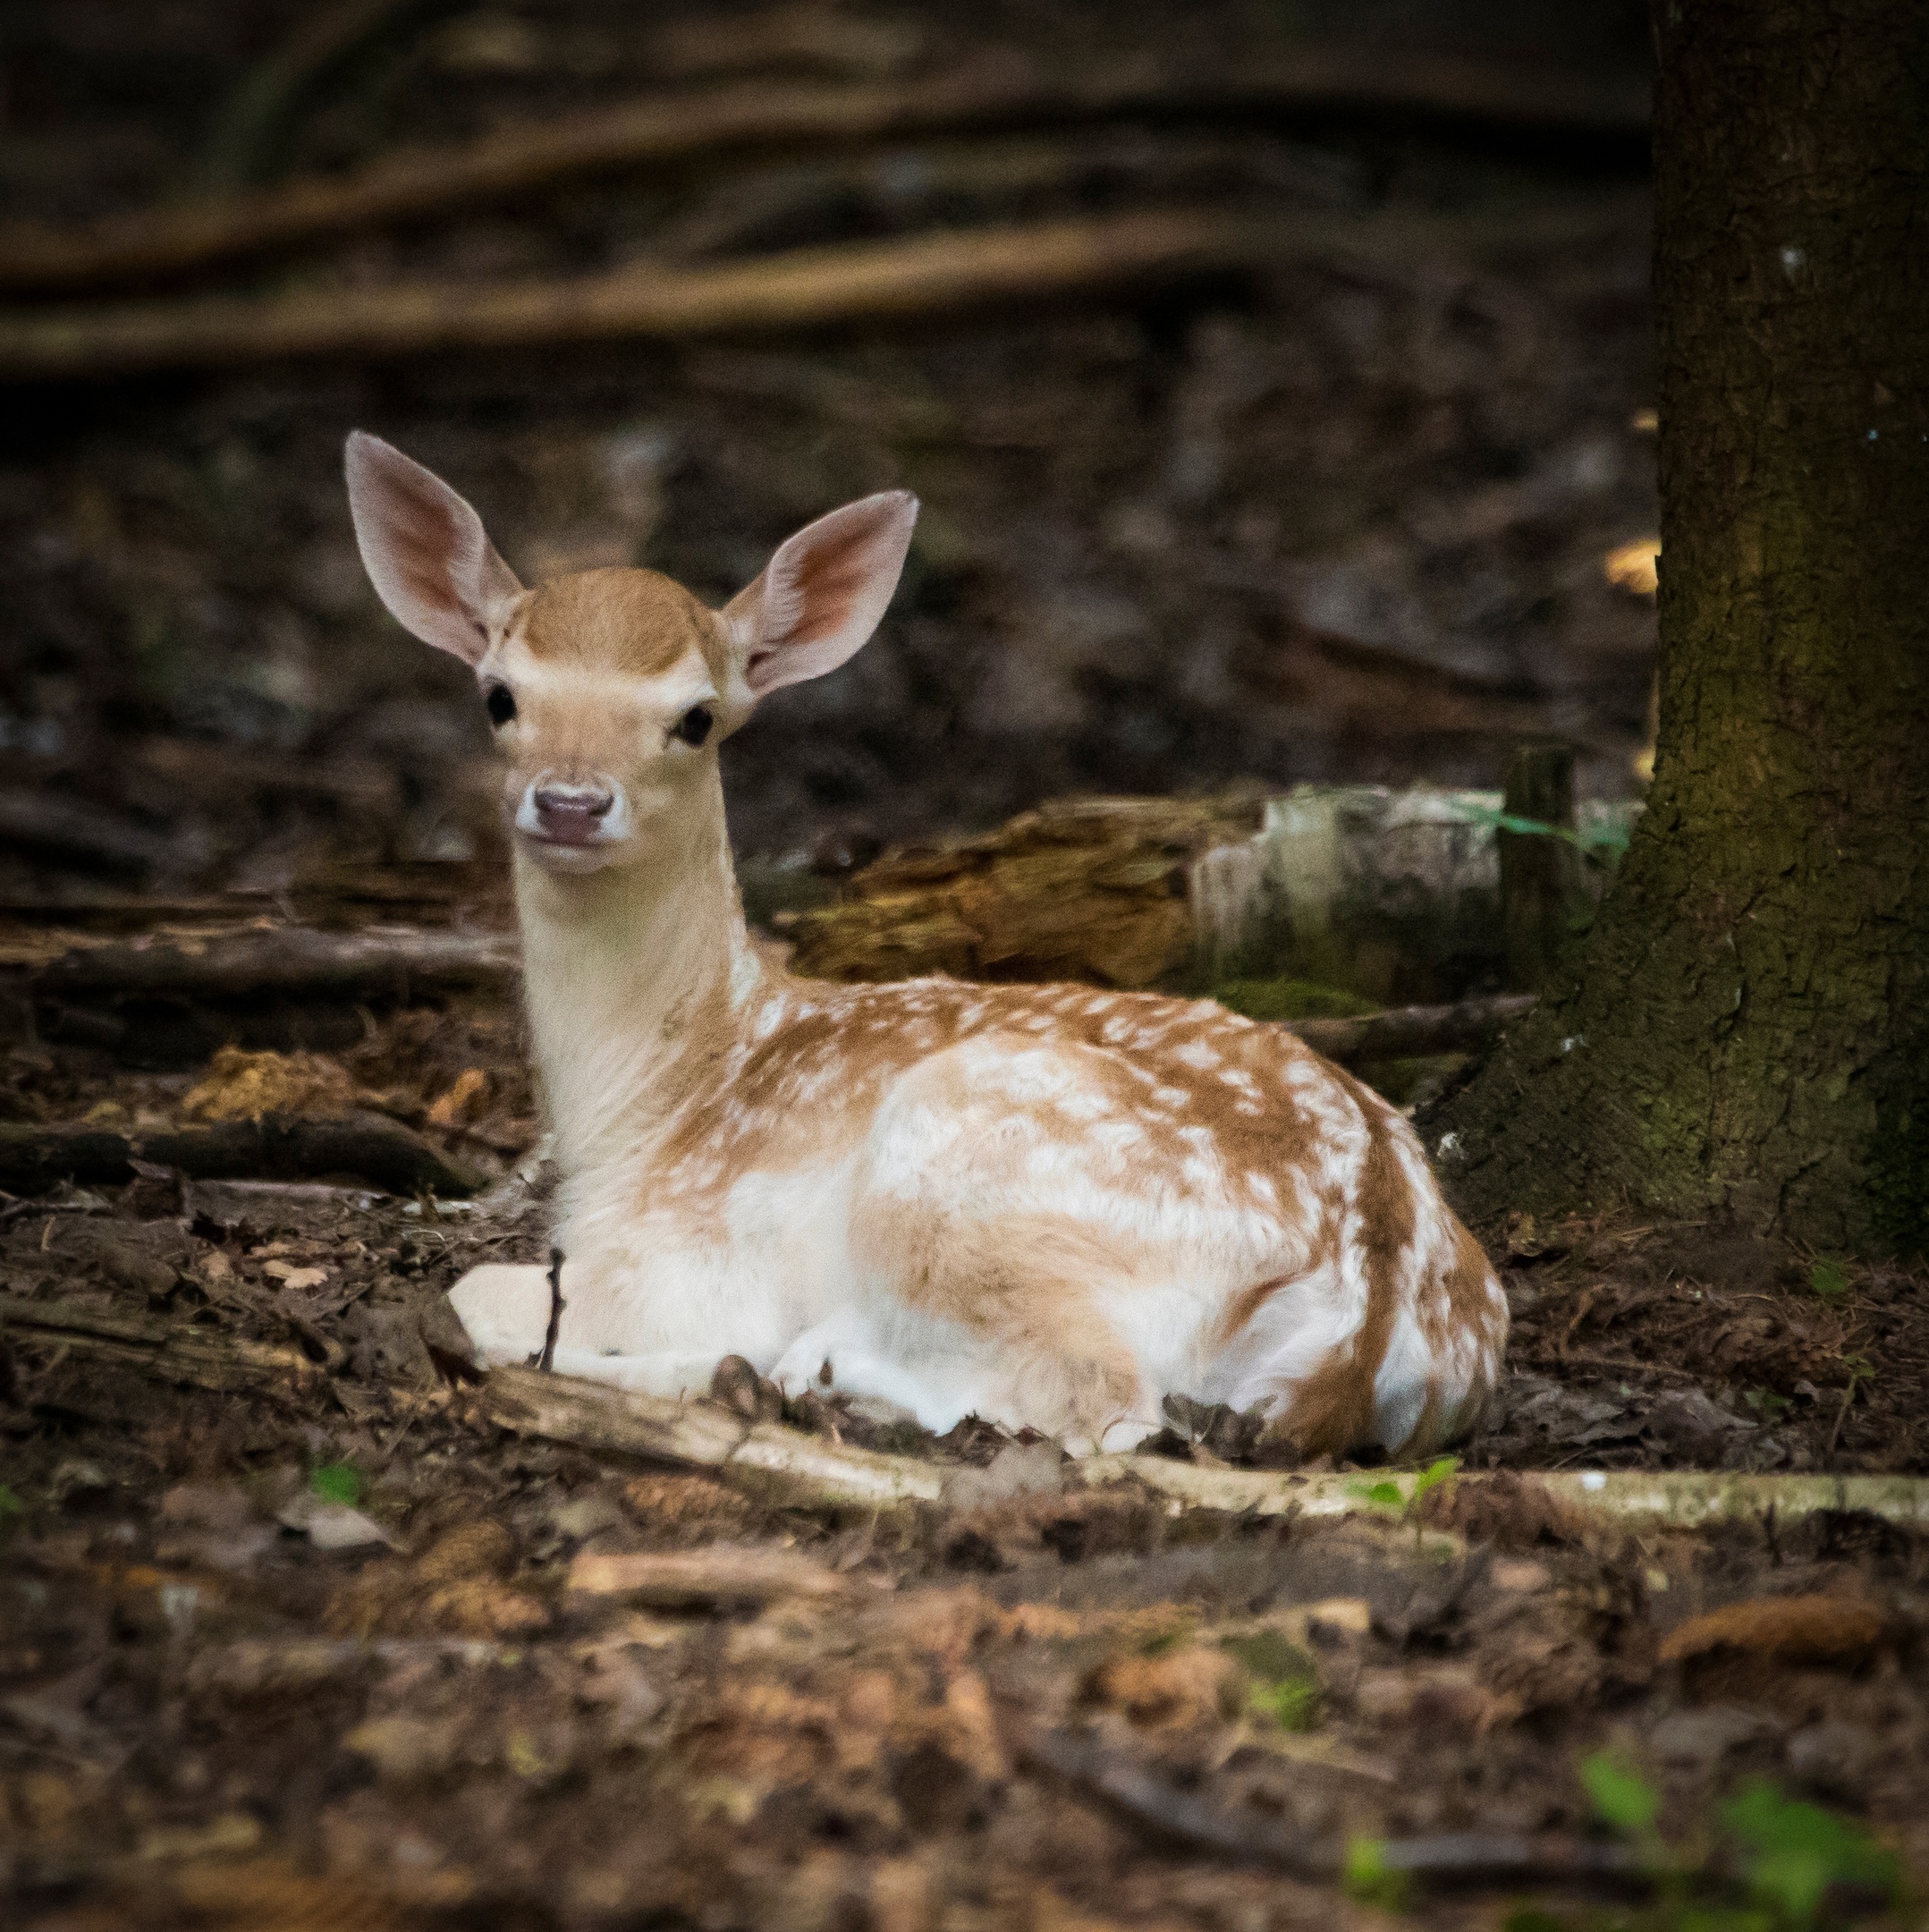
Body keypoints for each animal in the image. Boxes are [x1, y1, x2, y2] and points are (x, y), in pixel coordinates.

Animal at [347, 430, 1506, 1453]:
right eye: (501, 697)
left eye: (695, 718)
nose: (572, 802)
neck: (652, 1102)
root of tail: (1367, 1314)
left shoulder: (684, 1254)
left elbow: (473, 1291)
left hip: (953, 1167)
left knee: (1103, 1406)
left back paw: (787, 1374)